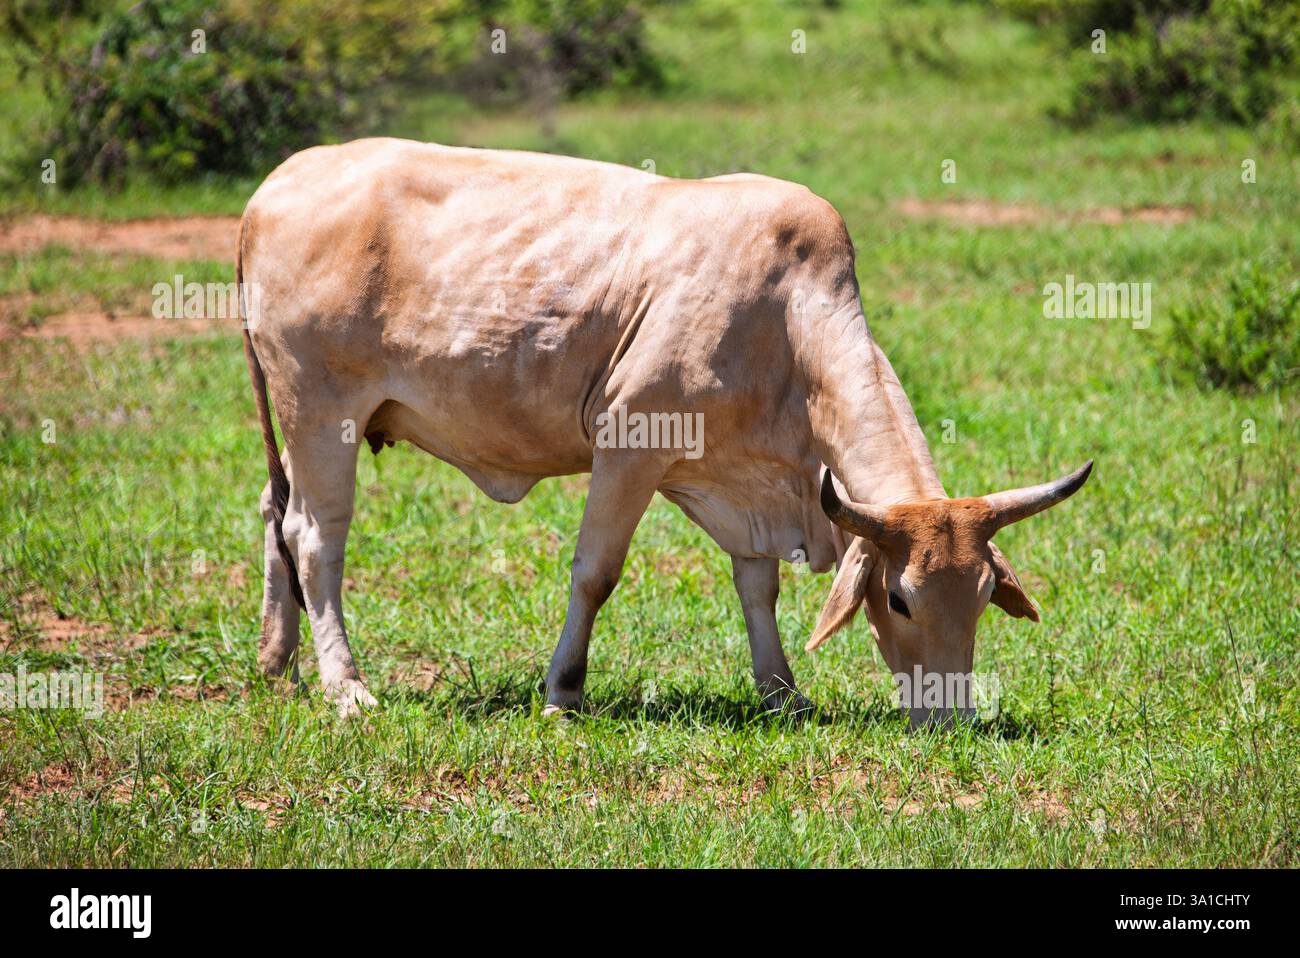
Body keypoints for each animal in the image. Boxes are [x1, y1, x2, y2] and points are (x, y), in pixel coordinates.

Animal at [238, 138, 1091, 726]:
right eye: (901, 599)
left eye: (981, 597)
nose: (951, 718)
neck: (787, 323)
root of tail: (279, 182)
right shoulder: (629, 446)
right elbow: (595, 573)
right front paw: (563, 692)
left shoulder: (745, 484)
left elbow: (758, 585)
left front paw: (782, 692)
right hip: (322, 414)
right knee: (316, 537)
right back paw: (347, 688)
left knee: (275, 510)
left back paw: (279, 662)